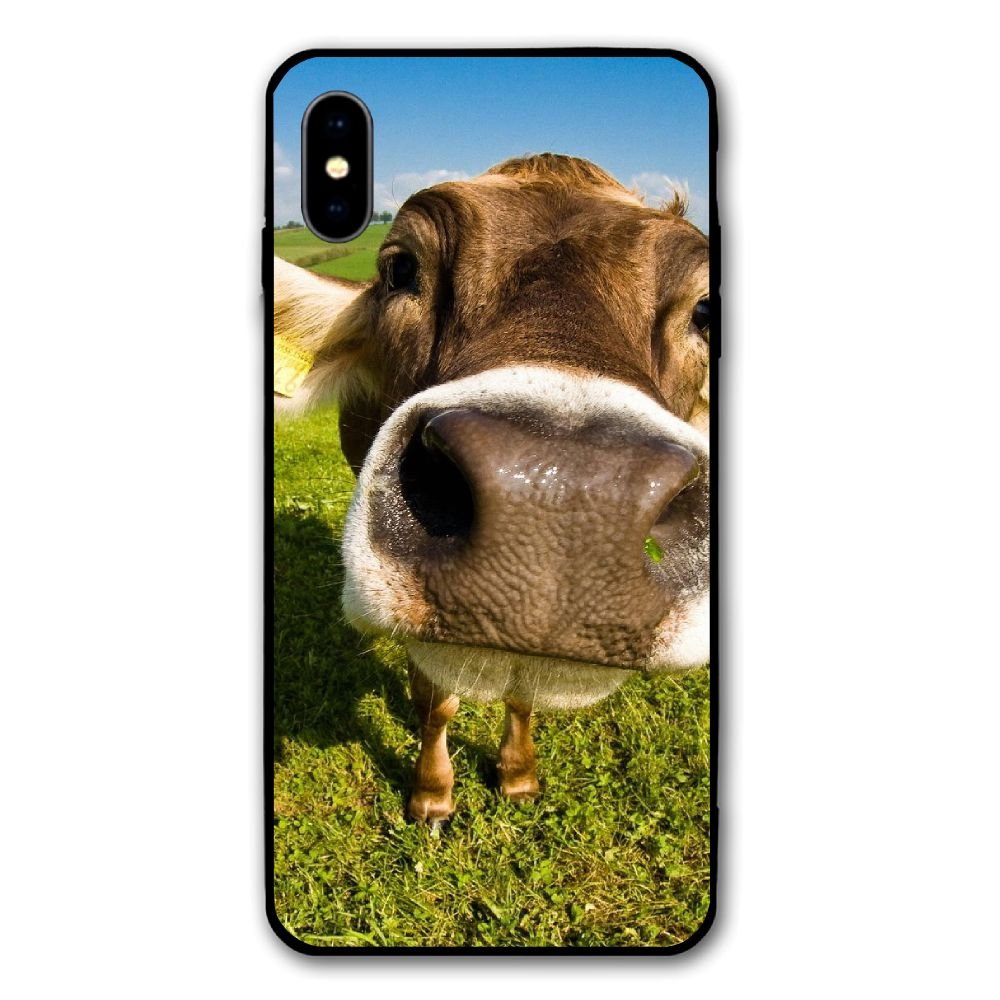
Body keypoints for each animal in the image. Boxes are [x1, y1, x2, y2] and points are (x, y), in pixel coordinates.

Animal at [273, 153, 711, 823]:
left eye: (706, 312)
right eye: (400, 267)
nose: (564, 496)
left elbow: (522, 692)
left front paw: (518, 774)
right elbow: (436, 700)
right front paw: (431, 793)